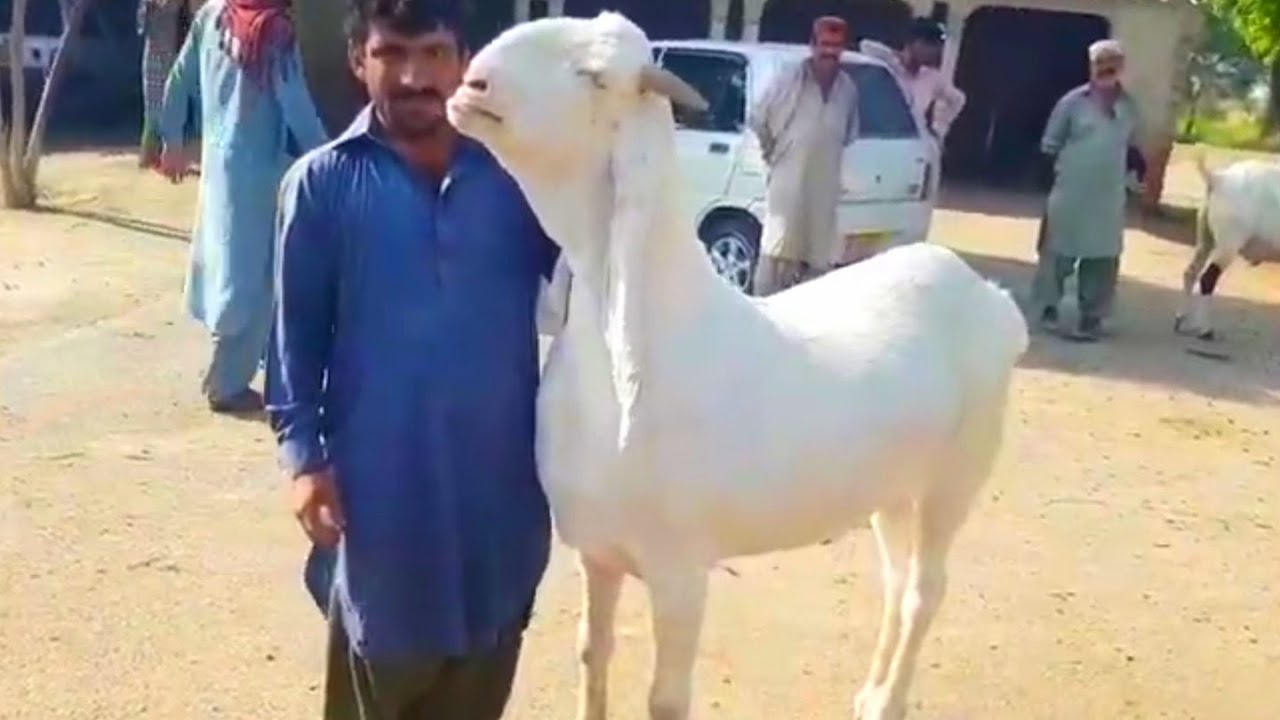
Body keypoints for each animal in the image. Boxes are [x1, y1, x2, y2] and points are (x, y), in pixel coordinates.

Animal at [448, 13, 1029, 720]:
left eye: (595, 77)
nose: (474, 83)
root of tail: (988, 296)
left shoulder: (681, 573)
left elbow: (666, 699)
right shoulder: (597, 554)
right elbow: (593, 655)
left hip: (955, 478)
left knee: (925, 589)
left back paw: (889, 700)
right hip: (895, 489)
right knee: (897, 579)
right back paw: (870, 692)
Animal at [1176, 153, 1280, 340]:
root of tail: (1219, 179)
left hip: (1206, 240)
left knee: (1190, 273)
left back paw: (1180, 319)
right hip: (1228, 243)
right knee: (1207, 279)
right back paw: (1205, 330)